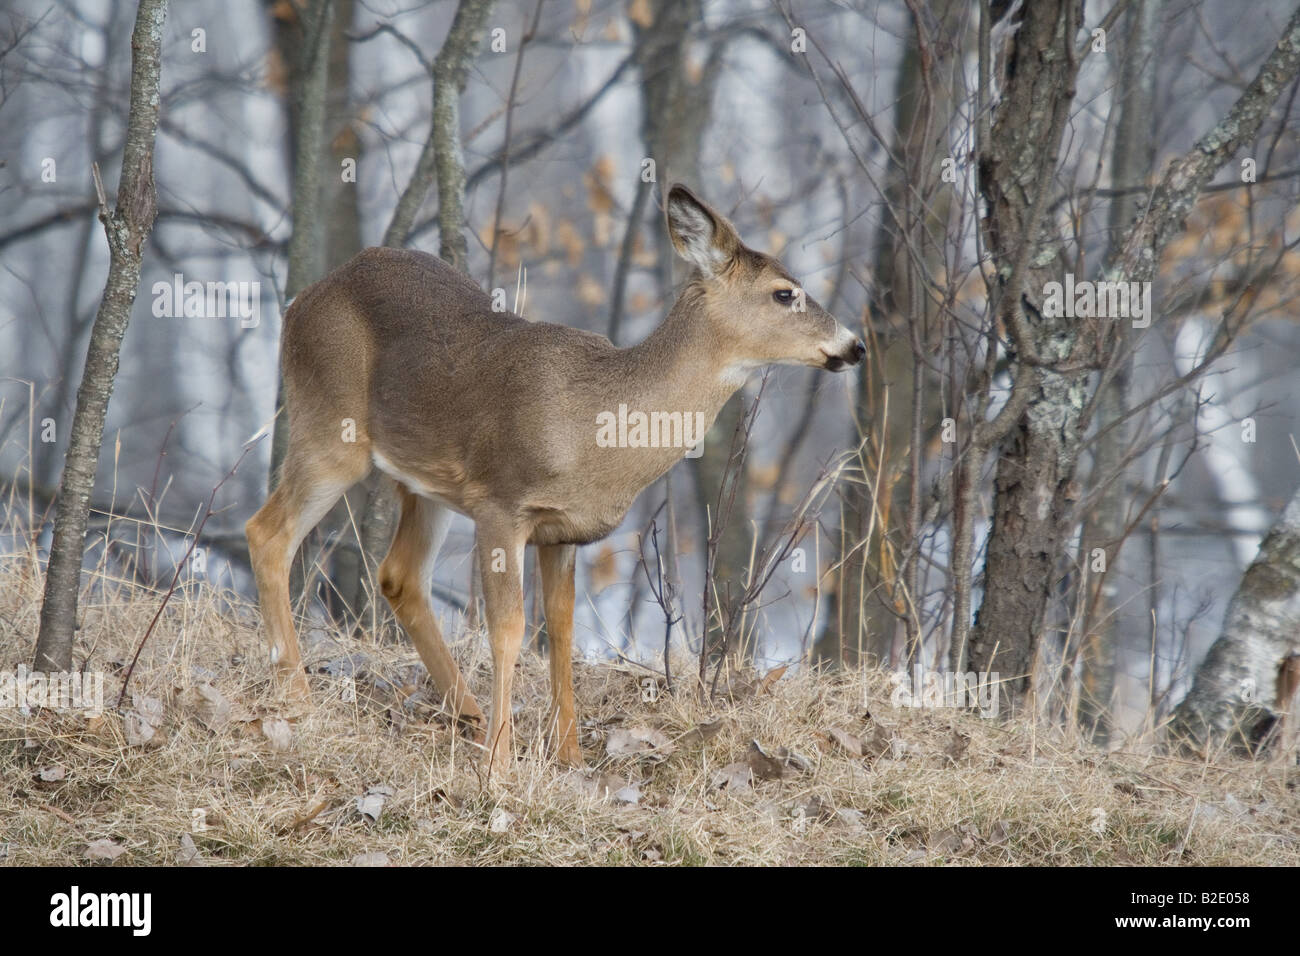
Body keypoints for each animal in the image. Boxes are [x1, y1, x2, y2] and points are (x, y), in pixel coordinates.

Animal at [245, 184, 865, 773]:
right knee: (267, 532)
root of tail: (300, 300)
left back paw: (465, 712)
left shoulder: (563, 531)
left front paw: (568, 755)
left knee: (399, 575)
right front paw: (499, 767)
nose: (855, 345)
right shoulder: (502, 504)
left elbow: (561, 633)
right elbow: (509, 630)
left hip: (424, 480)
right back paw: (297, 696)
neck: (595, 427)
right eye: (785, 293)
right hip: (331, 426)